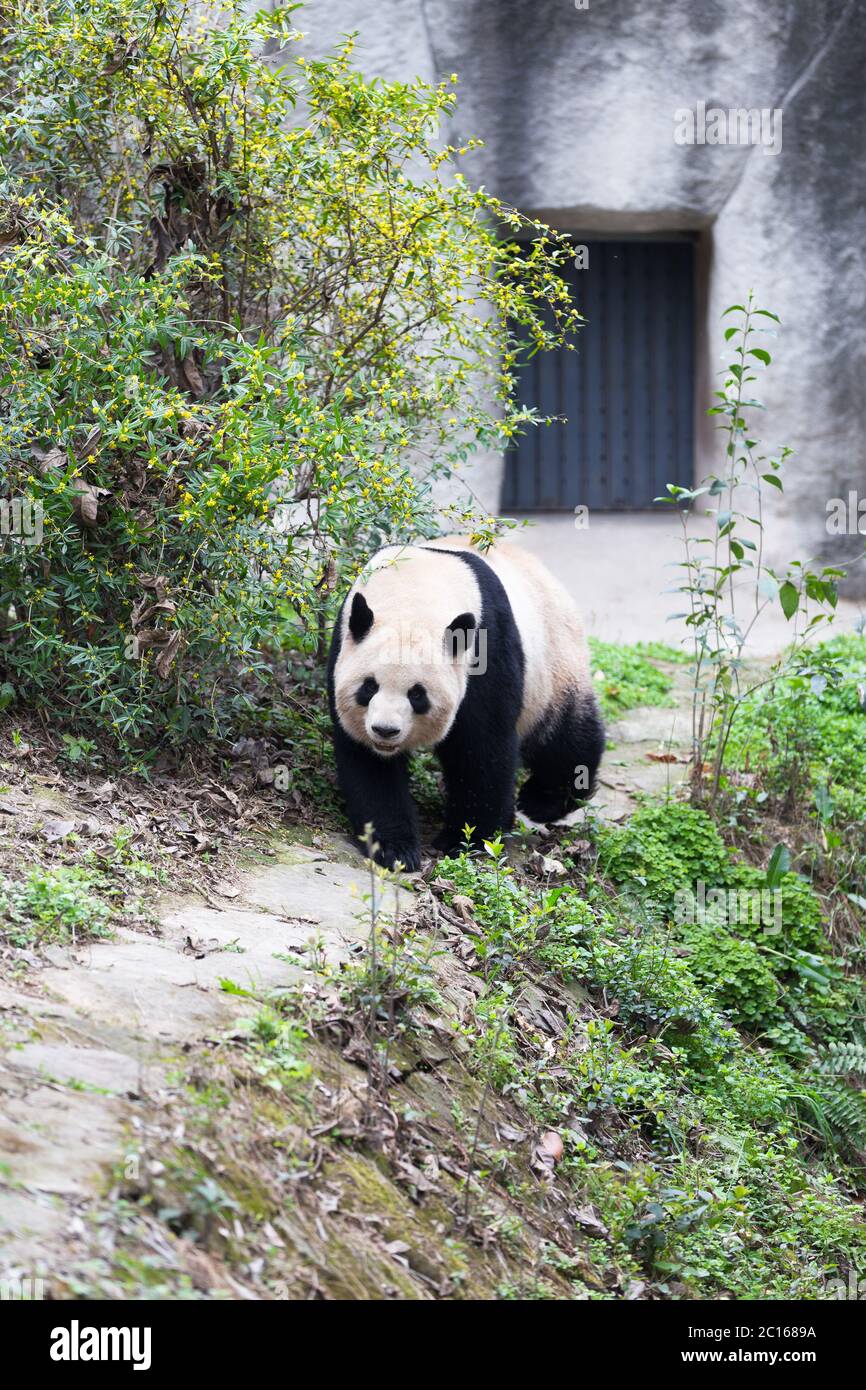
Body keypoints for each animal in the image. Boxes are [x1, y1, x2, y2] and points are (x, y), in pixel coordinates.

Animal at [327, 536, 605, 871]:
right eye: (369, 686)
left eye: (417, 694)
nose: (385, 731)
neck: (413, 592)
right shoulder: (342, 644)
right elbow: (368, 763)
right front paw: (395, 848)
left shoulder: (487, 649)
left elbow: (482, 748)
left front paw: (466, 838)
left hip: (554, 663)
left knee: (565, 737)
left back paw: (542, 800)